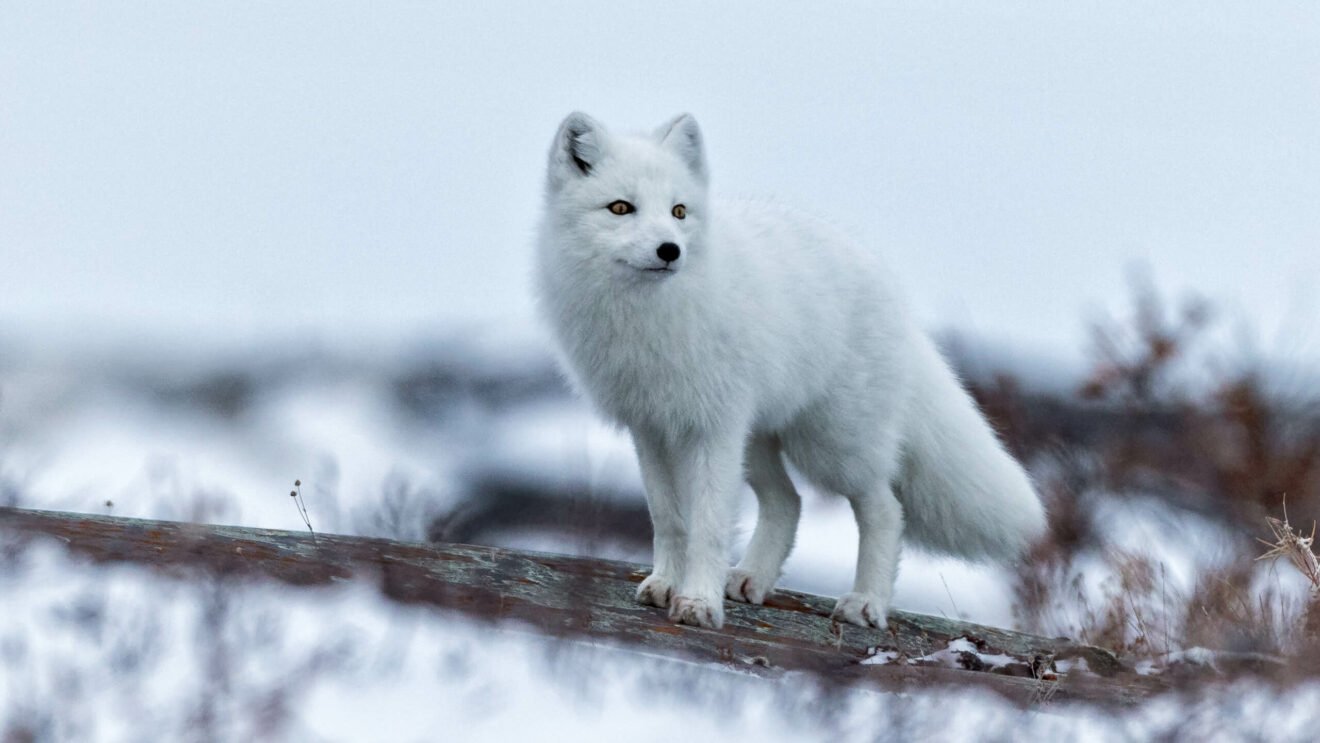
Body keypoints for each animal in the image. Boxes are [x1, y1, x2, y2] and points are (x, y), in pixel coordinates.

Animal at [534, 112, 1047, 630]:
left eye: (678, 211)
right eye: (621, 208)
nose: (670, 250)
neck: (648, 317)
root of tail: (890, 289)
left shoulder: (714, 426)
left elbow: (709, 526)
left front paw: (698, 603)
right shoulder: (650, 427)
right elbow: (669, 519)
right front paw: (664, 584)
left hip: (831, 445)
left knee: (885, 509)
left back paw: (866, 602)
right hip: (762, 438)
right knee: (789, 502)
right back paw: (751, 579)